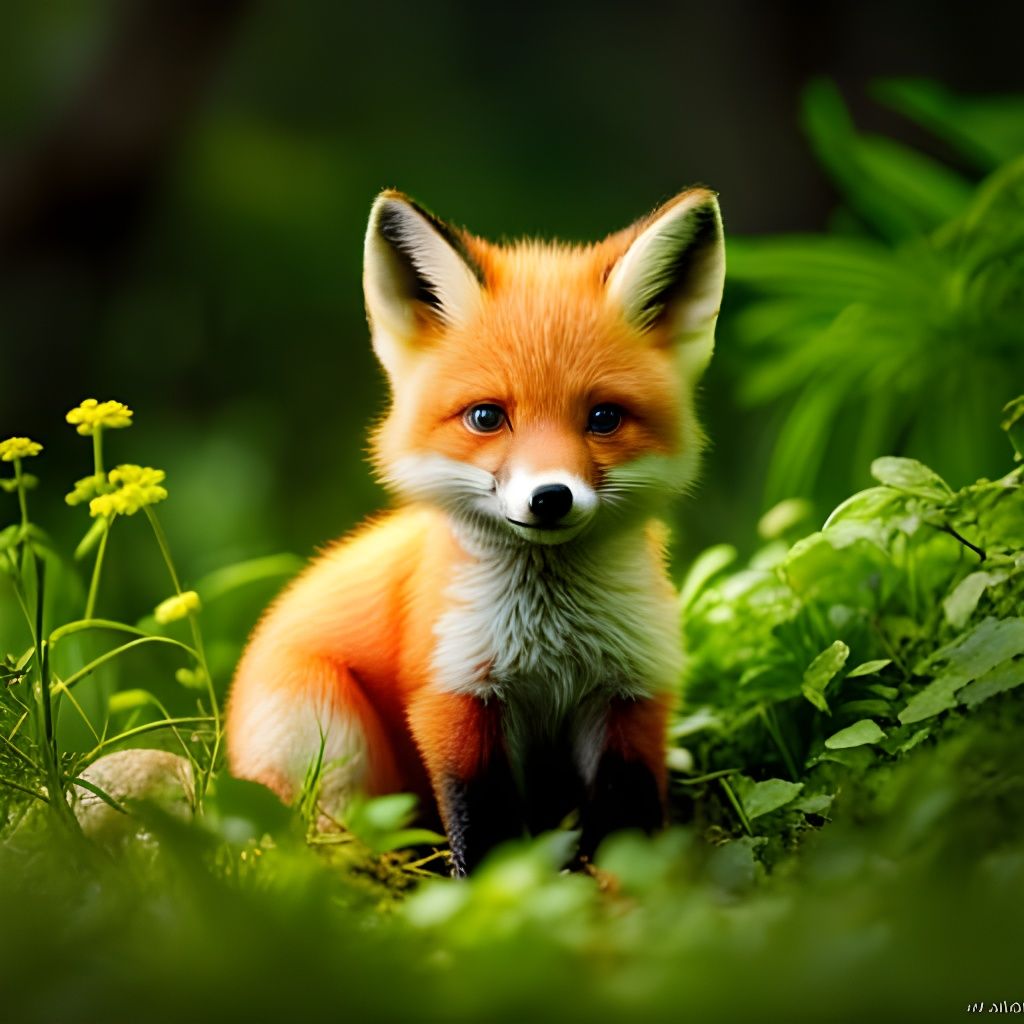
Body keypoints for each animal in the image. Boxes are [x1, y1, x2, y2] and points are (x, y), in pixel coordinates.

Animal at [225, 186, 725, 875]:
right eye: (487, 417)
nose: (550, 498)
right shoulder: (455, 693)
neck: (552, 640)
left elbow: (627, 825)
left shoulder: (631, 694)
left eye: (603, 418)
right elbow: (483, 826)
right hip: (329, 731)